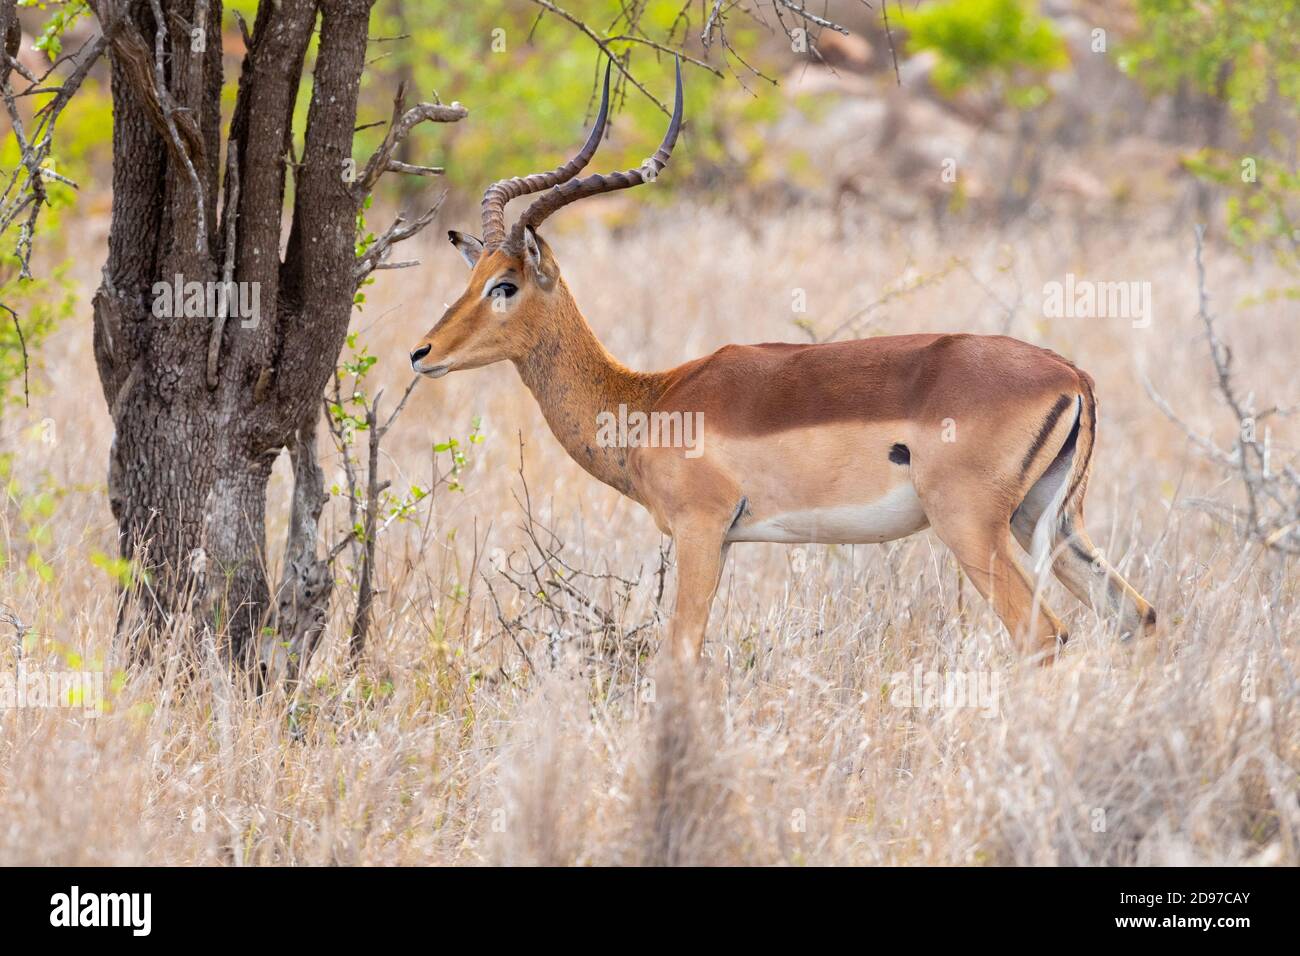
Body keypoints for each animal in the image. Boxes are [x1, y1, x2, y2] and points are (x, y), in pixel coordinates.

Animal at [410, 60, 1157, 662]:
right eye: (472, 273)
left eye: (505, 283)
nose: (422, 353)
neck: (650, 401)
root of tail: (1072, 377)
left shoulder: (701, 531)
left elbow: (681, 653)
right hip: (1046, 522)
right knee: (1136, 616)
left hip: (970, 526)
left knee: (1043, 635)